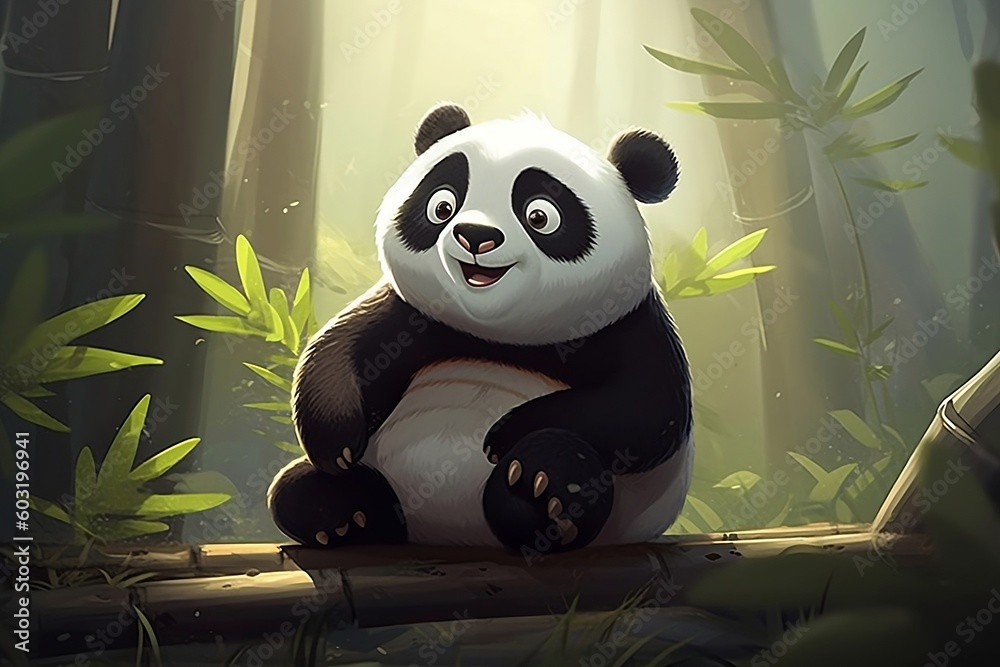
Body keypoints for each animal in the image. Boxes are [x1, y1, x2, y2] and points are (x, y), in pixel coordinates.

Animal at [268, 102, 693, 555]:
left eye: (540, 216)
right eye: (442, 206)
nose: (475, 235)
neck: (497, 331)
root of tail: (447, 533)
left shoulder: (631, 323)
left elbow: (647, 409)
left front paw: (506, 432)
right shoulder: (412, 313)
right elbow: (338, 348)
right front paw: (337, 443)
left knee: (564, 469)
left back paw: (544, 492)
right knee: (298, 490)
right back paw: (342, 516)